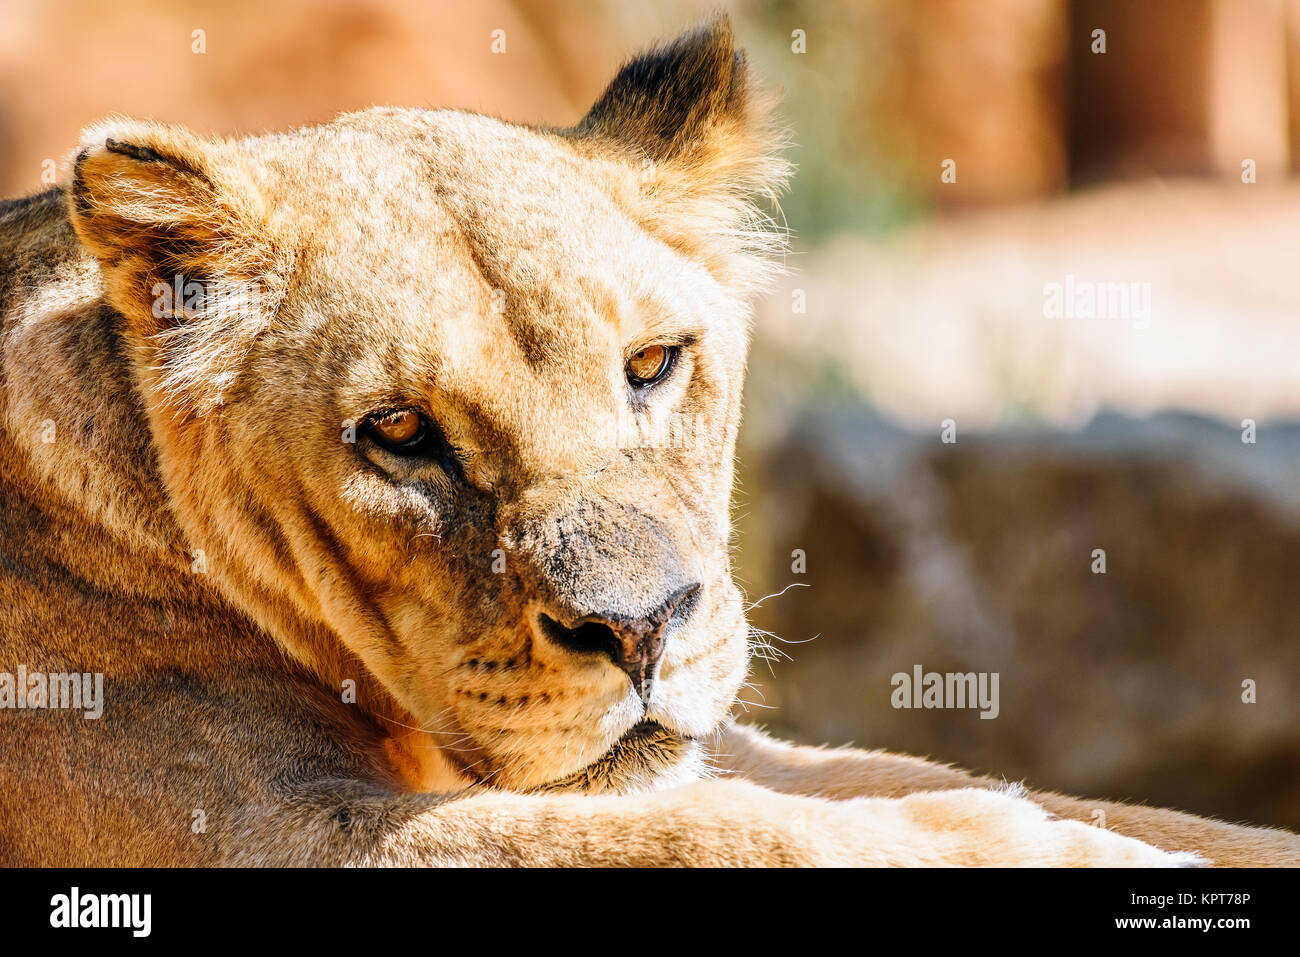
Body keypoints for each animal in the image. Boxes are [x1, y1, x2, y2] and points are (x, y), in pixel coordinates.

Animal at [0, 15, 1295, 867]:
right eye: (400, 433)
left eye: (652, 366)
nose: (640, 634)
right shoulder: (253, 825)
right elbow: (723, 834)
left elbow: (920, 781)